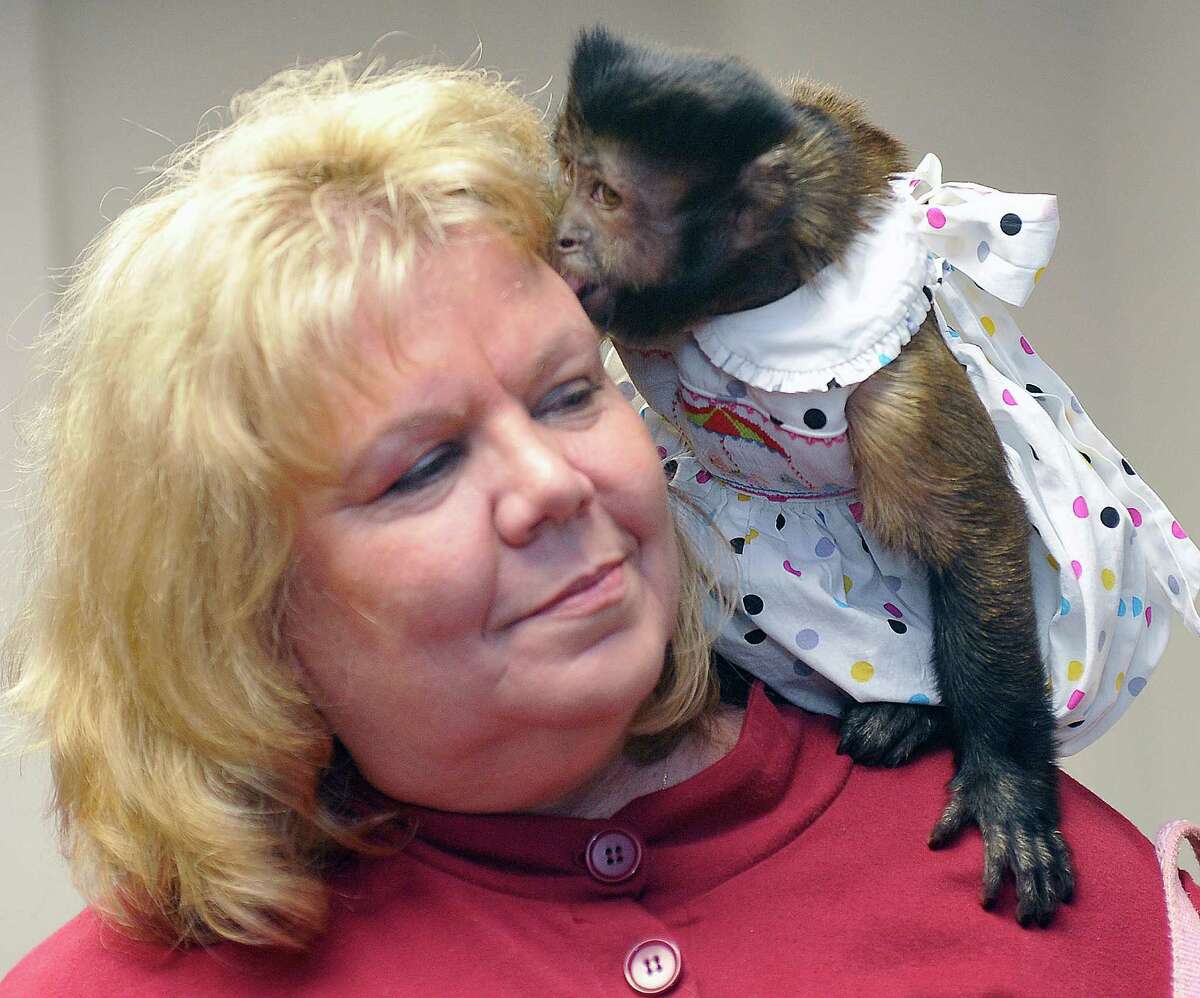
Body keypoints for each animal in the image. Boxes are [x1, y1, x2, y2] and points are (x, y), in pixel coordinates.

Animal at [553, 27, 1074, 927]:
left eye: (606, 194)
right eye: (569, 178)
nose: (561, 236)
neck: (748, 302)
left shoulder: (899, 388)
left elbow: (977, 535)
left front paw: (1008, 782)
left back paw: (906, 717)